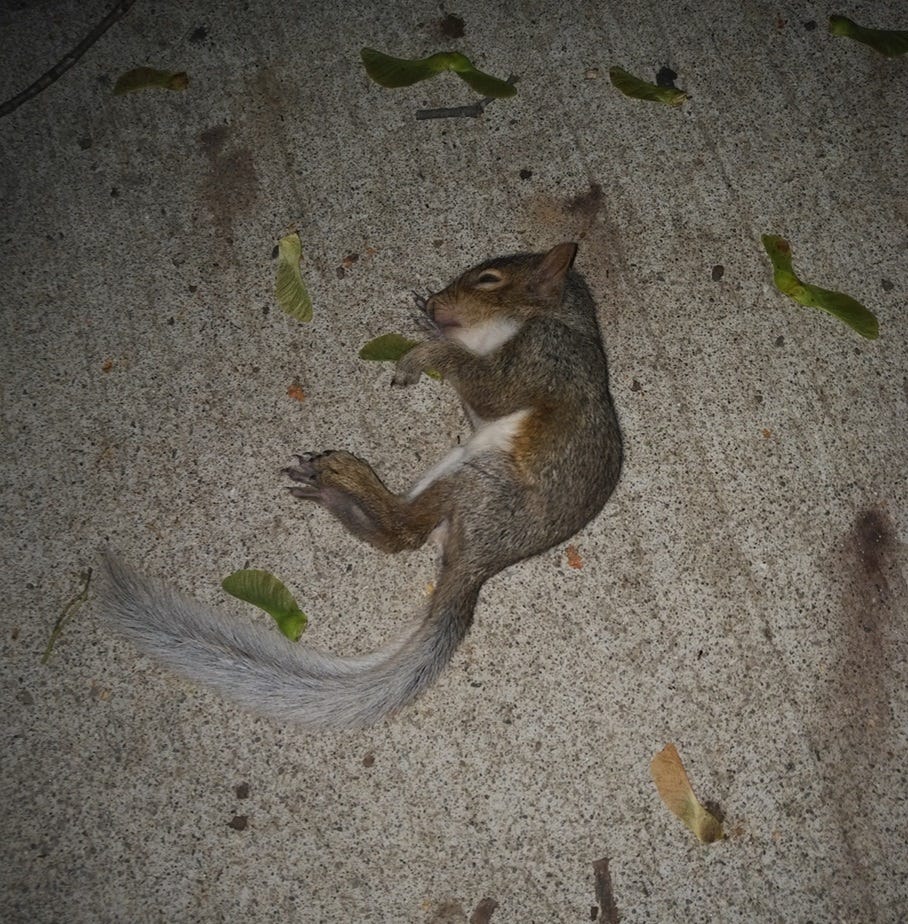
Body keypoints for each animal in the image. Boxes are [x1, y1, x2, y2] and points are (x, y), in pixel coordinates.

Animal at [101, 242, 623, 728]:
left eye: (489, 279)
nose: (434, 304)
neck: (546, 318)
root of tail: (481, 563)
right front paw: (423, 322)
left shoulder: (544, 358)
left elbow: (489, 386)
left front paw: (418, 355)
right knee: (397, 534)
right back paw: (334, 492)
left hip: (482, 479)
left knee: (404, 531)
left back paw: (344, 474)